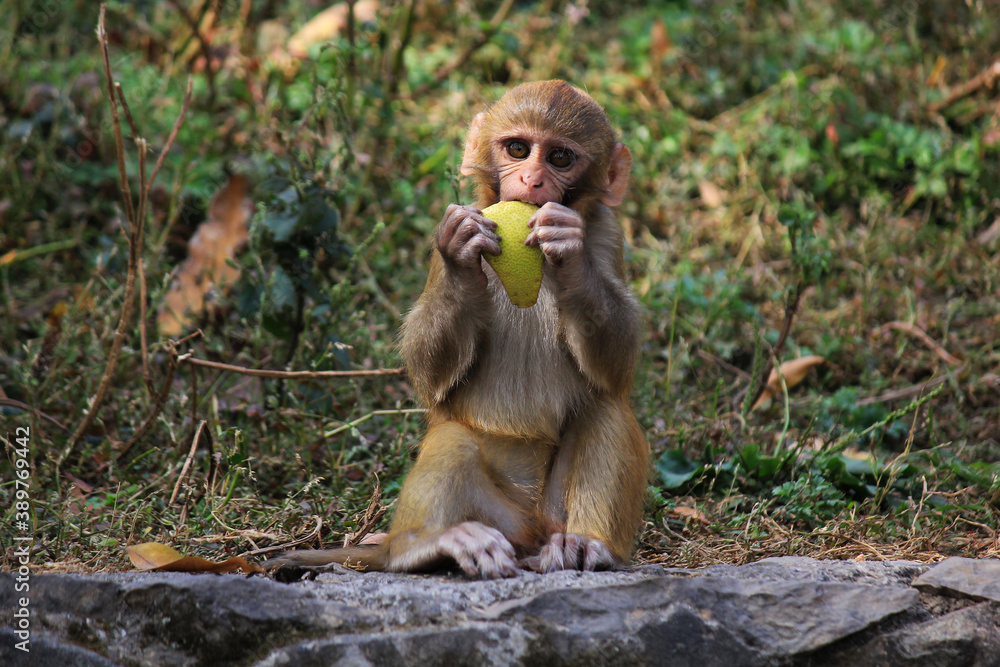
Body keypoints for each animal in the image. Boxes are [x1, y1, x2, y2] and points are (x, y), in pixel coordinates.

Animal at [265, 80, 648, 580]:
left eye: (560, 158)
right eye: (518, 149)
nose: (532, 180)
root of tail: (529, 534)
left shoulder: (608, 232)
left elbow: (616, 369)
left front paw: (571, 253)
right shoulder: (447, 229)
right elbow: (431, 378)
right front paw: (462, 256)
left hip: (546, 518)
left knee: (606, 410)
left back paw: (584, 543)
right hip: (499, 518)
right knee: (454, 440)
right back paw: (427, 546)